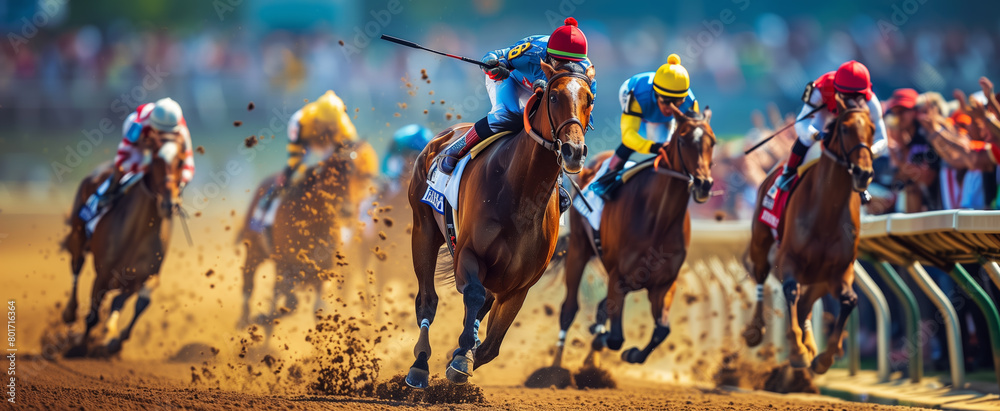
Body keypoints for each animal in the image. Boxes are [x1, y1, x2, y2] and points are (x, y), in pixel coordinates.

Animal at [62, 132, 188, 357]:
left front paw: (116, 340)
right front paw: (79, 347)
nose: (170, 203)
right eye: (155, 160)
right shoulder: (103, 274)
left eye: (181, 161)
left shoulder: (147, 274)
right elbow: (93, 313)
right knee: (76, 268)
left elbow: (140, 302)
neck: (139, 232)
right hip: (78, 236)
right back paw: (70, 313)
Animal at [237, 141, 377, 329]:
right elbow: (289, 301)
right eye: (334, 172)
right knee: (249, 282)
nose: (347, 211)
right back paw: (245, 320)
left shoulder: (325, 272)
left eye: (364, 176)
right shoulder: (285, 266)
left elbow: (316, 308)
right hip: (254, 251)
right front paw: (263, 317)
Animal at [404, 61, 595, 388]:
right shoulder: (467, 255)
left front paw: (461, 359)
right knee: (427, 300)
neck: (522, 196)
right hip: (423, 229)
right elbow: (473, 295)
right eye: (554, 96)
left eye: (589, 99)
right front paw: (458, 359)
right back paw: (419, 365)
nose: (574, 151)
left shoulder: (519, 285)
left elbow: (490, 346)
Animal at [552, 105, 715, 369]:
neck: (658, 221)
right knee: (568, 309)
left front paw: (631, 353)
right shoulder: (618, 277)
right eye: (682, 139)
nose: (704, 184)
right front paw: (604, 339)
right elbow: (616, 338)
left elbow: (662, 330)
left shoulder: (663, 284)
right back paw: (555, 367)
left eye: (713, 141)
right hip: (579, 247)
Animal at [742, 94, 875, 373]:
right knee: (762, 277)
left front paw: (822, 357)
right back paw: (755, 331)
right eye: (845, 129)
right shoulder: (788, 260)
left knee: (806, 304)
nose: (864, 173)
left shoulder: (840, 271)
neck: (827, 213)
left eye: (872, 130)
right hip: (761, 241)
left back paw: (811, 344)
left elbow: (849, 301)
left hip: (819, 277)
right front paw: (798, 352)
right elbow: (791, 291)